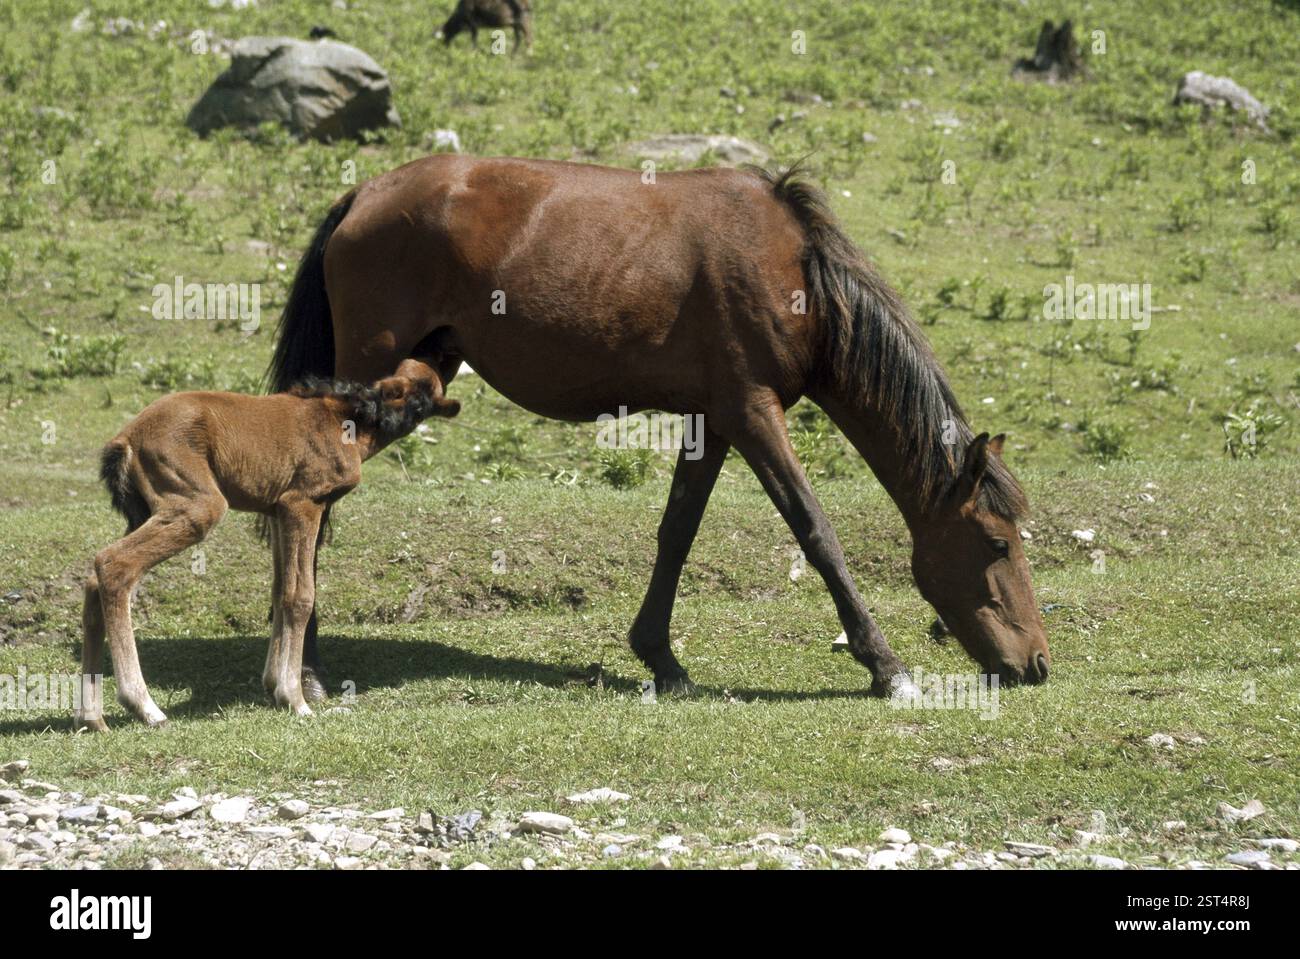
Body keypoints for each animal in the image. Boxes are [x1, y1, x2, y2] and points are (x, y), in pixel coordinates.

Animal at [77, 359, 459, 730]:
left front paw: (275, 687)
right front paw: (295, 699)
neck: (348, 421)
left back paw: (92, 717)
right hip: (196, 505)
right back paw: (144, 707)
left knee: (96, 578)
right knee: (114, 564)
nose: (385, 411)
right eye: (413, 400)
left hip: (148, 512)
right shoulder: (303, 502)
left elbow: (279, 591)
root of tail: (125, 439)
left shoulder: (276, 511)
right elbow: (300, 596)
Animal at [267, 156, 1051, 702]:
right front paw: (886, 665)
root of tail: (362, 195)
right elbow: (816, 532)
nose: (1038, 662)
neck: (796, 274)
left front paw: (661, 657)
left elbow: (678, 531)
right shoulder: (754, 414)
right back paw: (307, 668)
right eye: (997, 543)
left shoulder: (715, 421)